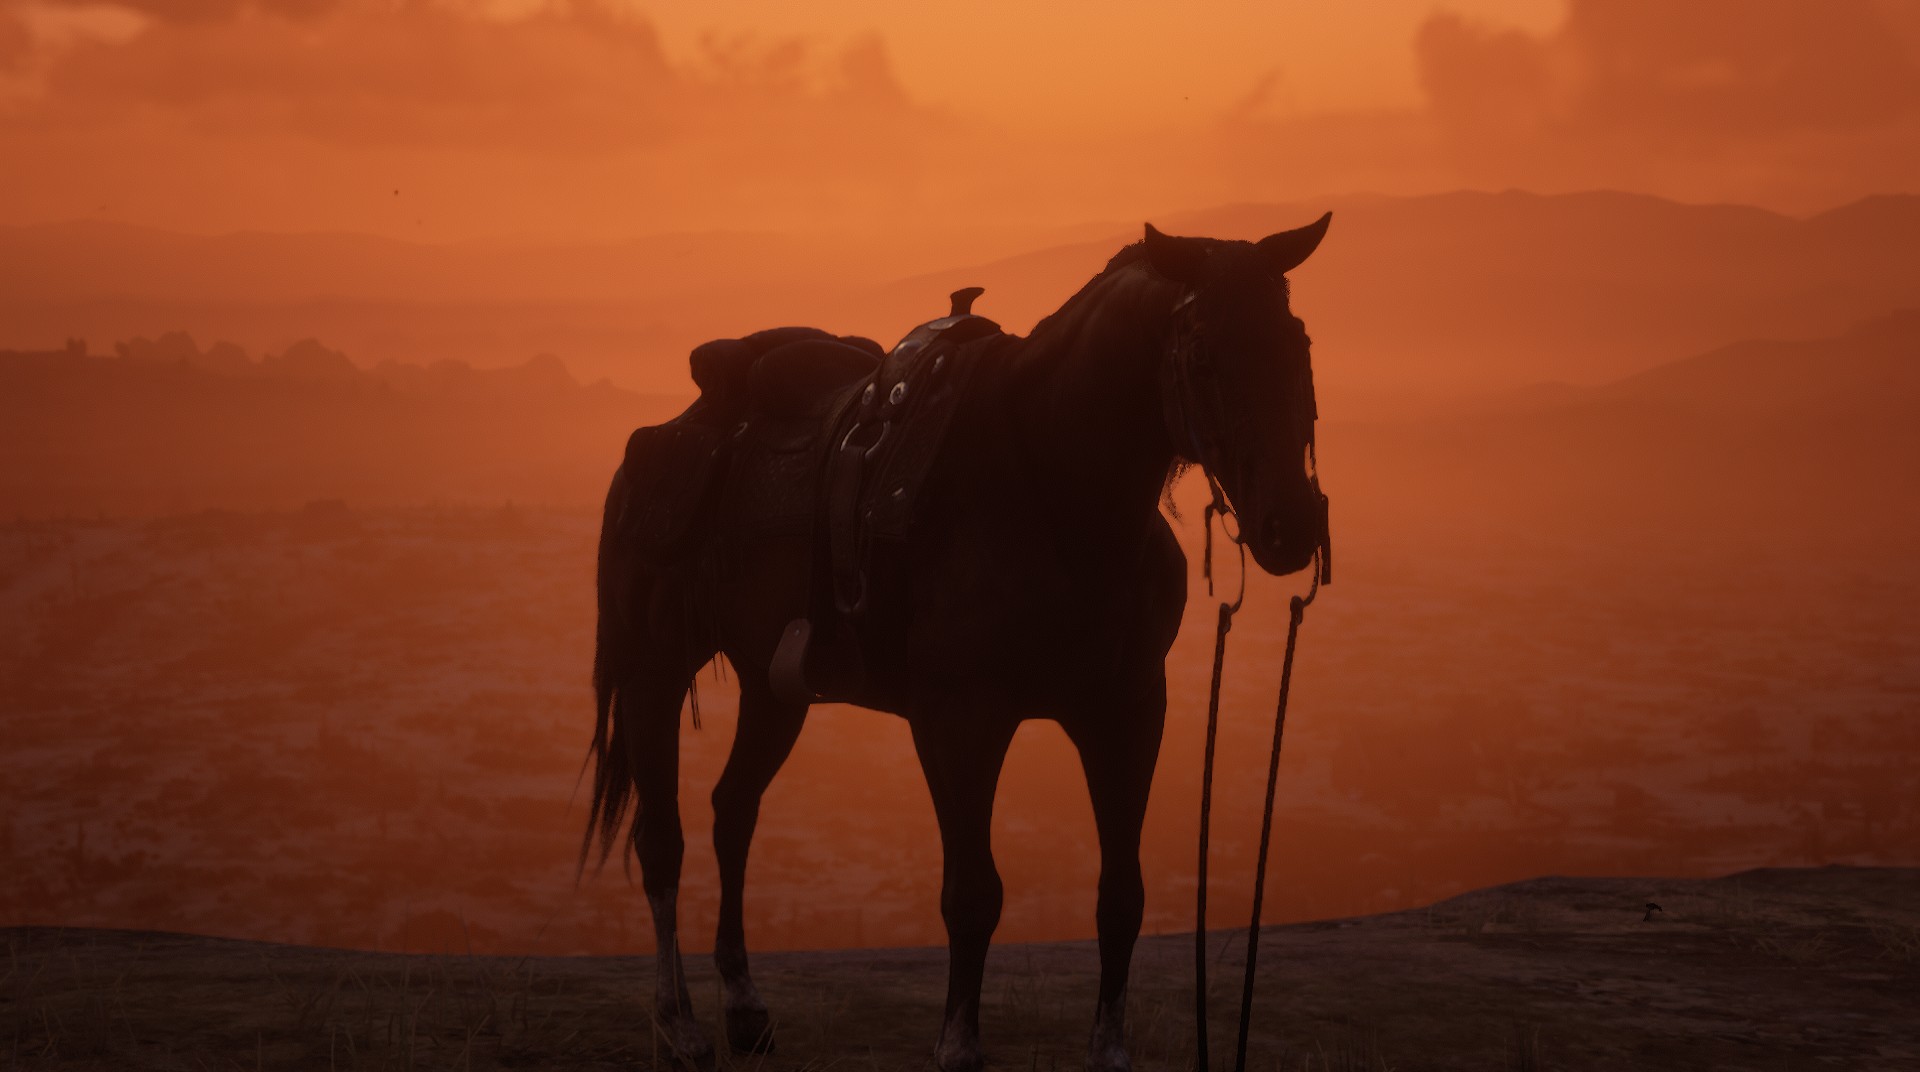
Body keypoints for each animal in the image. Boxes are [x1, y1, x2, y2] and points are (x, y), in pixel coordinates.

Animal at [584, 215, 1334, 1072]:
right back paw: (680, 1024)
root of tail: (672, 434)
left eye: (1298, 341)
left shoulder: (1129, 713)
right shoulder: (960, 722)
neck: (1051, 488)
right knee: (661, 841)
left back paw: (746, 1010)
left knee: (732, 810)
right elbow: (973, 893)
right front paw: (959, 1045)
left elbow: (1123, 893)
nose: (1290, 523)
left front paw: (1109, 1048)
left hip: (772, 688)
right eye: (1204, 353)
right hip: (652, 672)